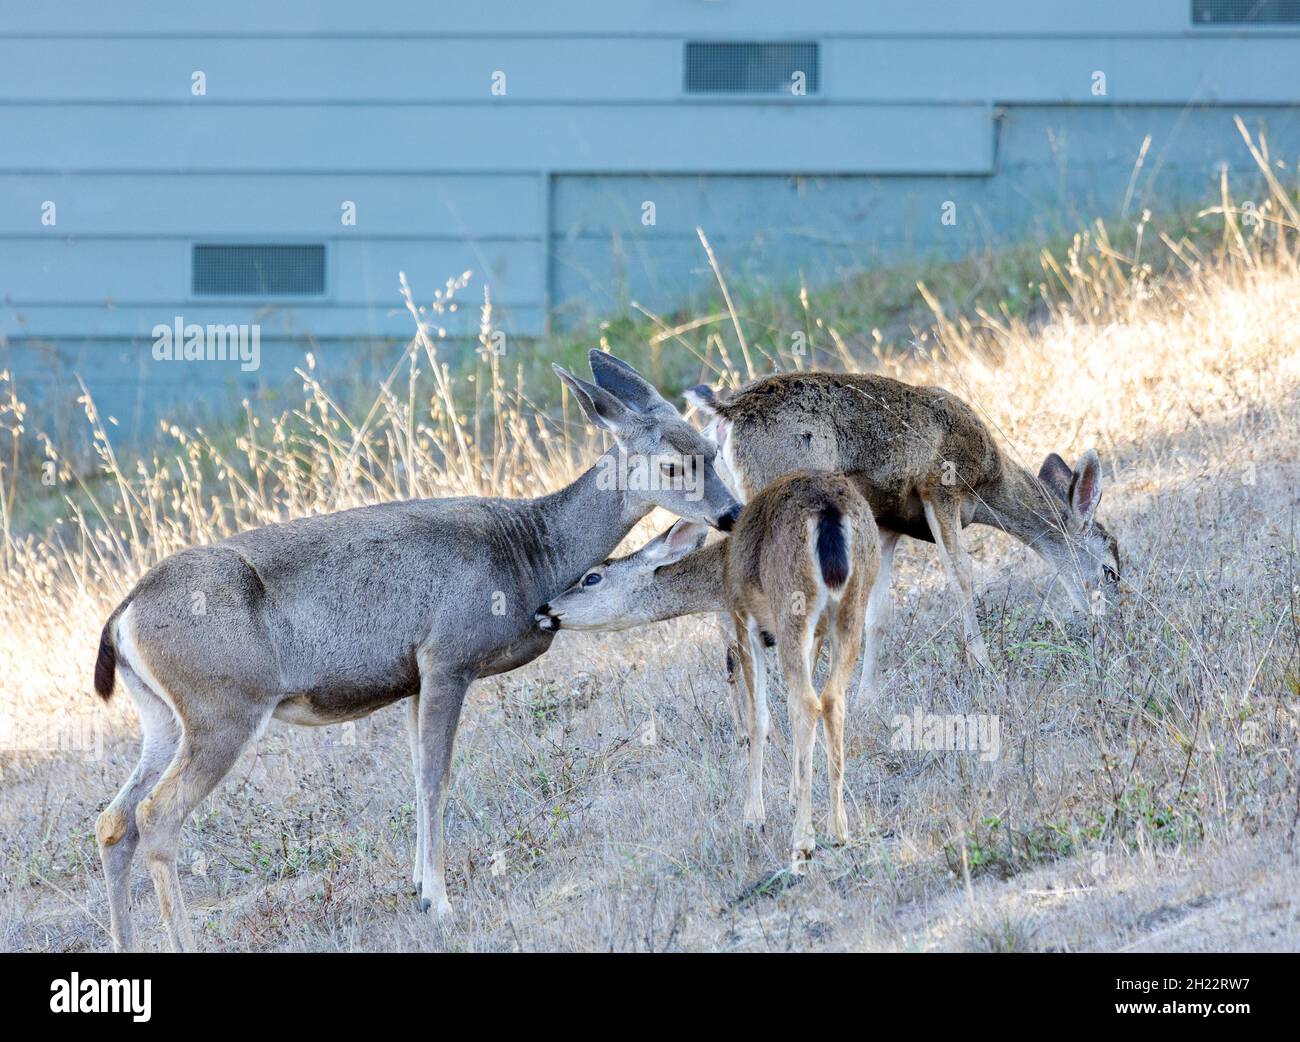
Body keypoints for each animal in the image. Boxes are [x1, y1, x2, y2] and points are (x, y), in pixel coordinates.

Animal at [90, 350, 741, 951]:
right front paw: (439, 900)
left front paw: (418, 887)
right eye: (673, 463)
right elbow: (435, 775)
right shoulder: (447, 656)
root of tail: (124, 616)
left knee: (114, 818)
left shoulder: (413, 678)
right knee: (156, 816)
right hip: (224, 707)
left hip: (164, 716)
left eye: (713, 452)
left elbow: (417, 773)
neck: (529, 552)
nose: (732, 512)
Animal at [537, 470, 879, 868]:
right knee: (832, 697)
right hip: (853, 603)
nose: (544, 609)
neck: (722, 569)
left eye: (591, 578)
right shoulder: (814, 632)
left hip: (791, 603)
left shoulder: (744, 618)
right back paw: (840, 829)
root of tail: (829, 510)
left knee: (807, 703)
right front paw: (793, 792)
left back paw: (802, 840)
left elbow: (758, 718)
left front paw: (754, 816)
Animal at [684, 371, 1120, 704]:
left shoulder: (887, 524)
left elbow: (877, 612)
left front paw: (867, 695)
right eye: (1110, 570)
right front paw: (983, 665)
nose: (1108, 623)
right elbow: (962, 576)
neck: (989, 484)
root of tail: (728, 412)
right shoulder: (940, 486)